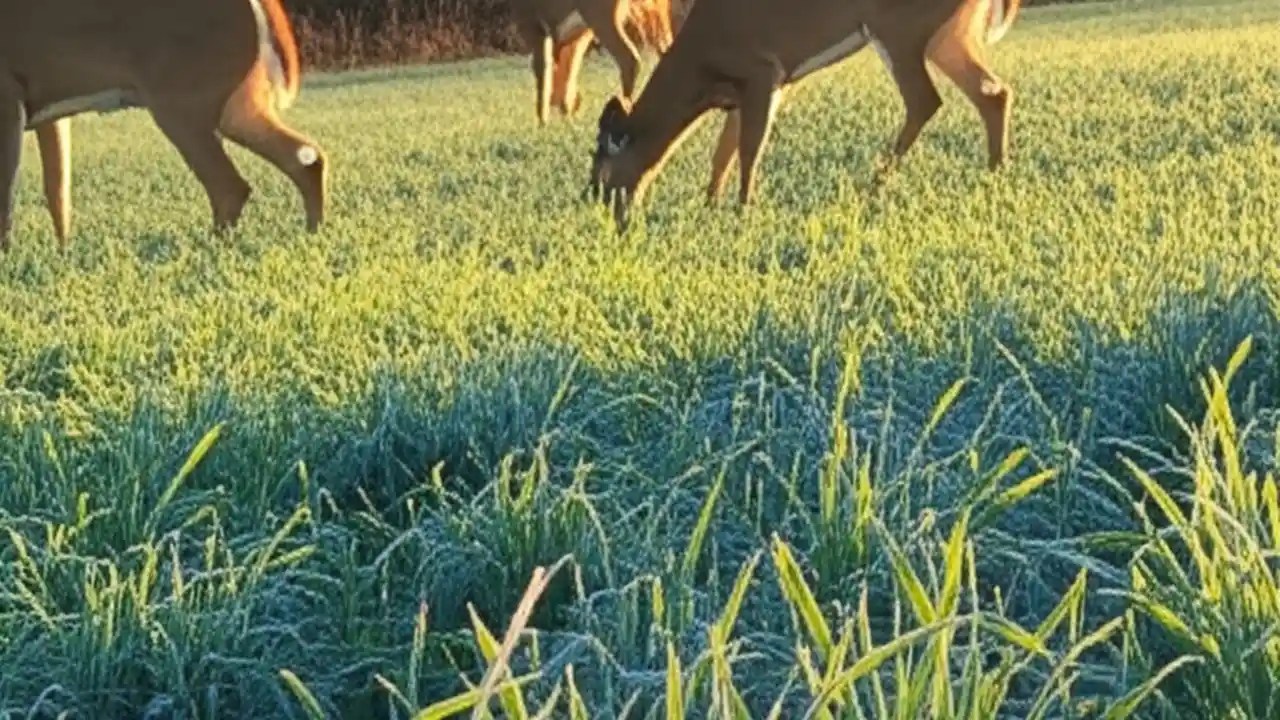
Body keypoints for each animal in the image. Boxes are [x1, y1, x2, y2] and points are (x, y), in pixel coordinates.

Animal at [0, 0, 328, 252]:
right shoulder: (49, 112)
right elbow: (57, 191)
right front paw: (63, 251)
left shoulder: (8, 97)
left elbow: (8, 194)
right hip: (234, 102)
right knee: (307, 158)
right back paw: (312, 233)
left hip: (180, 99)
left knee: (230, 185)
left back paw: (213, 246)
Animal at [512, 0, 675, 125]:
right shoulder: (577, 34)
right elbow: (569, 71)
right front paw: (567, 117)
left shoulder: (535, 26)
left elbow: (543, 70)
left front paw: (543, 122)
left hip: (601, 15)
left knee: (630, 59)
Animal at [585, 0, 1023, 225]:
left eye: (601, 170)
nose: (601, 210)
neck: (699, 71)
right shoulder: (745, 91)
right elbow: (723, 151)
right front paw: (710, 206)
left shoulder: (765, 71)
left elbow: (749, 149)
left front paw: (743, 212)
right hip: (947, 33)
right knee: (993, 93)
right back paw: (996, 174)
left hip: (897, 27)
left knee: (925, 100)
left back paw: (873, 187)